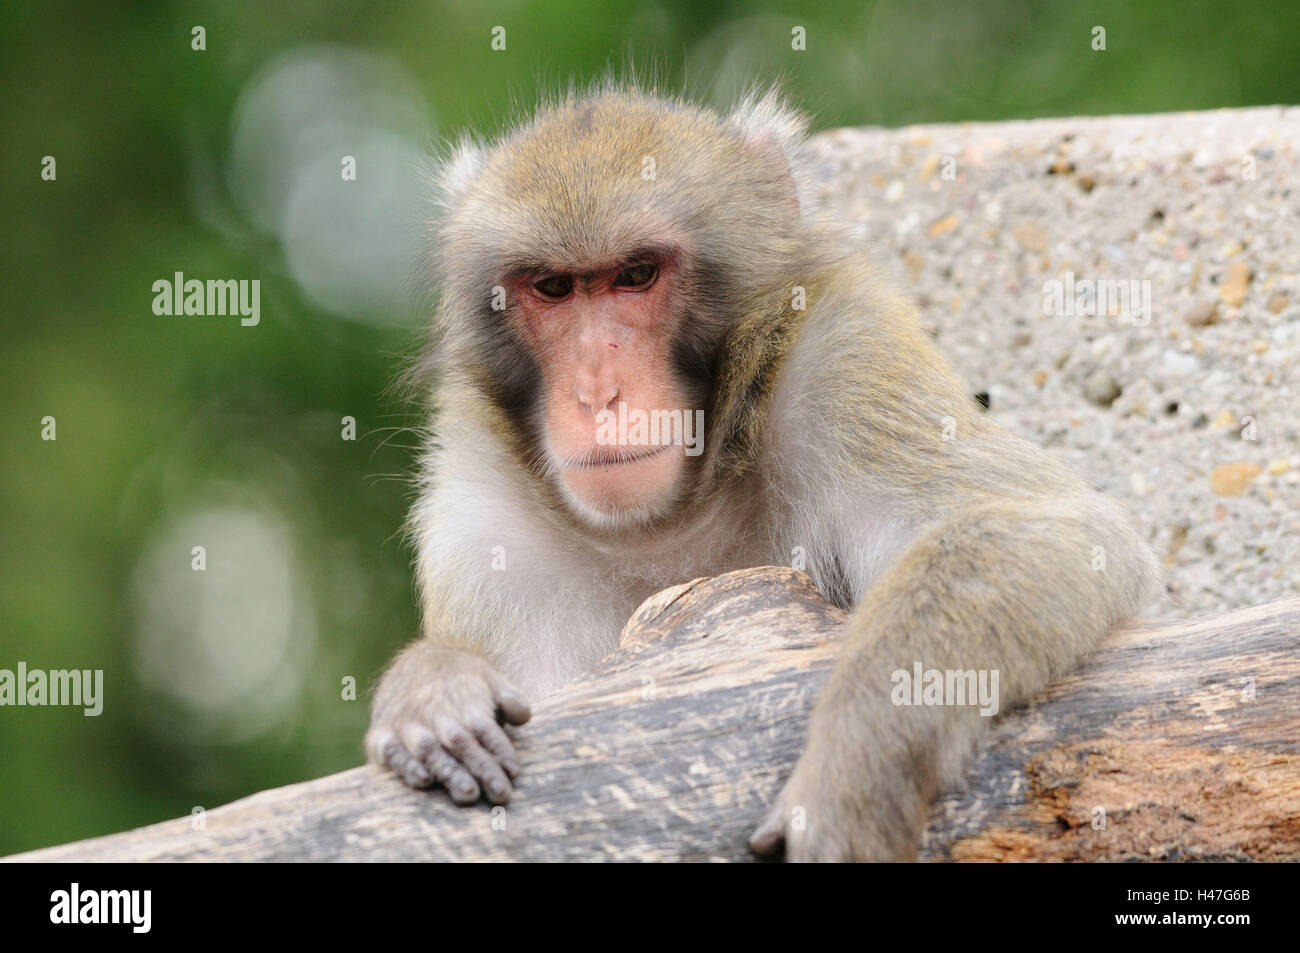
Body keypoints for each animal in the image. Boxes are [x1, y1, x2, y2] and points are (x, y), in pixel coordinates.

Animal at [364, 84, 1159, 861]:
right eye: (554, 287)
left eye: (636, 275)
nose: (596, 393)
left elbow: (1052, 530)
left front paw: (854, 761)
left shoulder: (845, 359)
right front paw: (430, 687)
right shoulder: (478, 518)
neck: (670, 522)